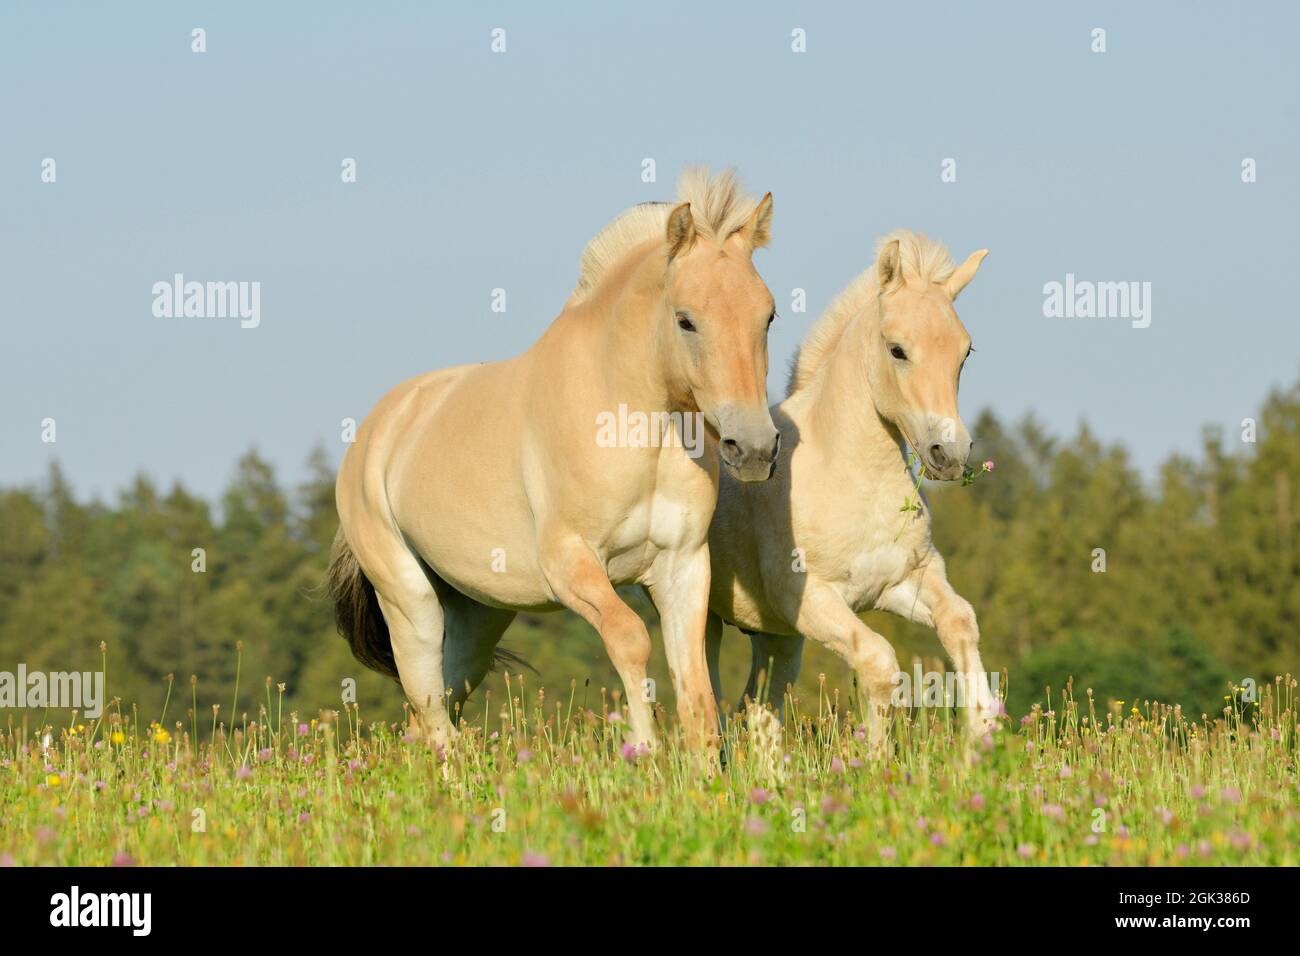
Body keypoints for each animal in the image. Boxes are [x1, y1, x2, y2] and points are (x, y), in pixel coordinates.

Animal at [328, 168, 780, 753]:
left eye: (768, 316)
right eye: (686, 321)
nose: (753, 449)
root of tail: (376, 431)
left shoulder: (681, 566)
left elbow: (697, 689)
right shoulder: (572, 564)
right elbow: (630, 640)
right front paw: (645, 752)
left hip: (477, 615)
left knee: (434, 707)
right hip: (411, 603)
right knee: (429, 709)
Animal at [704, 230, 1001, 755]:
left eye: (965, 351)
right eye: (897, 349)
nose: (948, 452)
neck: (850, 476)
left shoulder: (906, 580)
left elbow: (961, 622)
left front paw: (981, 737)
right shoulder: (811, 599)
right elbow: (880, 663)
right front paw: (876, 762)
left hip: (775, 635)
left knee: (758, 708)